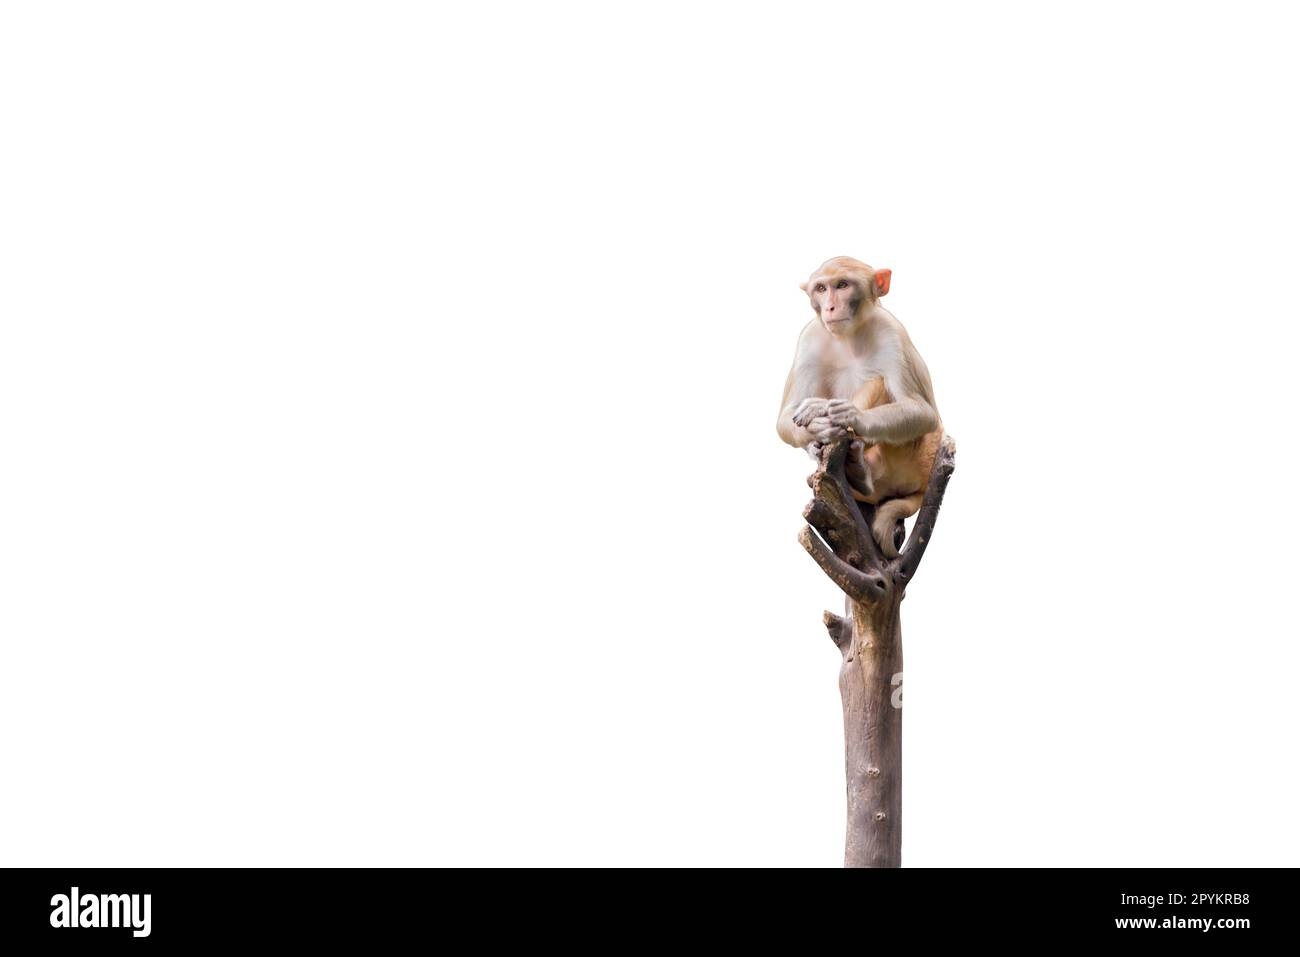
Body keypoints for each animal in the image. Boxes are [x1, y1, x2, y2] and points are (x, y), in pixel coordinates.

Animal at [776, 256, 943, 557]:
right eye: (821, 288)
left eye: (843, 285)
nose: (830, 306)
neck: (850, 336)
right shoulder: (809, 336)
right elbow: (785, 419)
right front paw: (818, 427)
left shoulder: (892, 331)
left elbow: (925, 414)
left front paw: (843, 414)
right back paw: (851, 468)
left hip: (920, 456)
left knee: (879, 383)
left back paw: (853, 459)